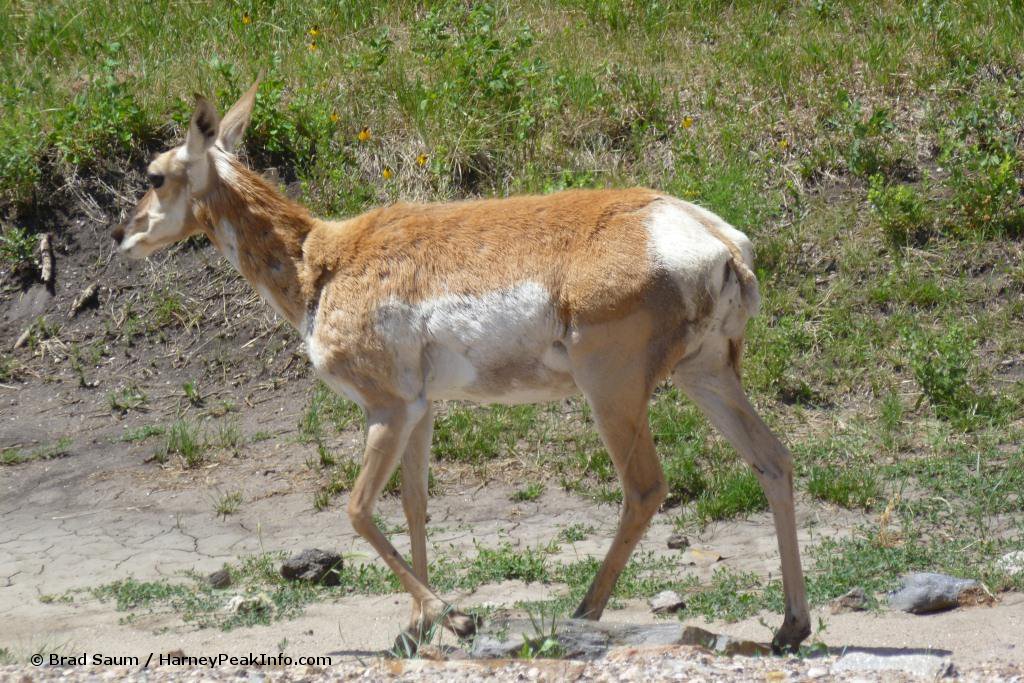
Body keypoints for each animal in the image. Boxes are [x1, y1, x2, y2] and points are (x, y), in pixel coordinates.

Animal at [112, 83, 811, 652]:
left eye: (155, 174)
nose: (122, 237)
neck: (322, 261)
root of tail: (717, 240)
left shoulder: (387, 408)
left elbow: (357, 510)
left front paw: (453, 617)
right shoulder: (421, 410)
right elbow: (416, 505)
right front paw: (421, 625)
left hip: (612, 389)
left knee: (645, 487)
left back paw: (582, 613)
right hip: (705, 375)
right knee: (773, 459)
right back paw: (789, 627)